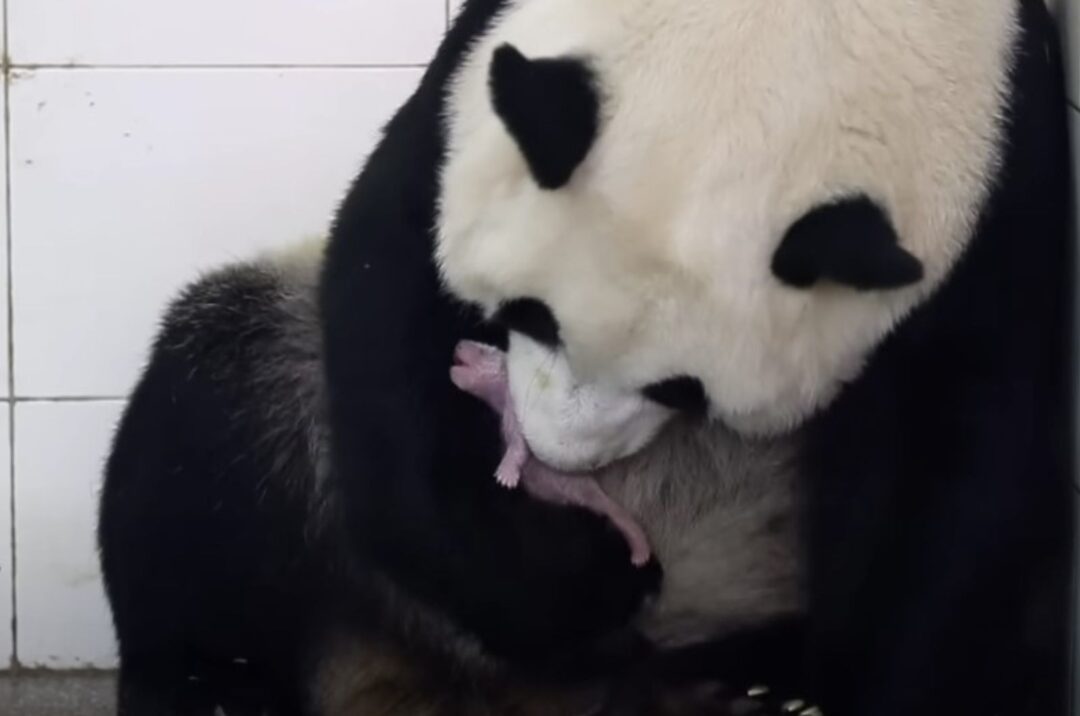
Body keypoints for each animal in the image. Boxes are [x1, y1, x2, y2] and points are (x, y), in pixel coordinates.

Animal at [99, 1, 1073, 716]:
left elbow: (959, 450)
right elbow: (387, 290)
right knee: (221, 393)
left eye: (685, 390)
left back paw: (746, 684)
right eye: (525, 313)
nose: (553, 461)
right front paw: (580, 576)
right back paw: (209, 689)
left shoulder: (1001, 176)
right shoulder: (469, 84)